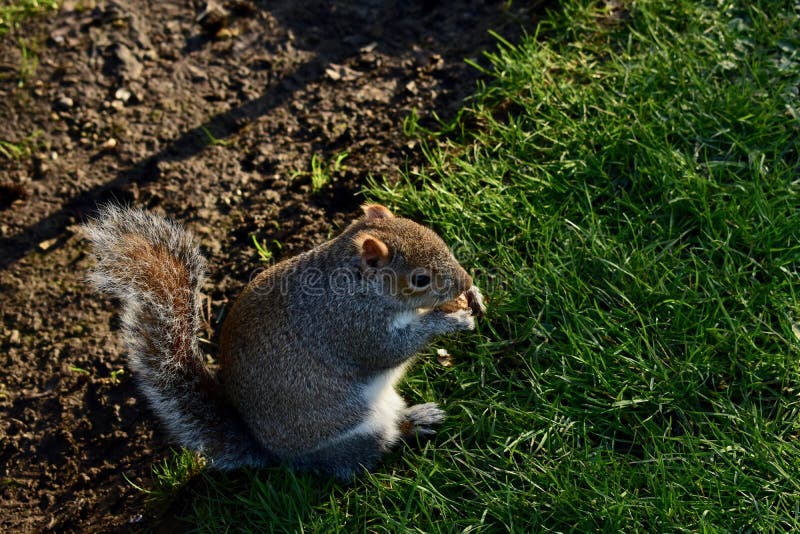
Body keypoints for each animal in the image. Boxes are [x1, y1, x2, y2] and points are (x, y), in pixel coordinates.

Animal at [83, 203, 485, 480]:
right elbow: (389, 351)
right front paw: (447, 320)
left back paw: (417, 415)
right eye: (419, 279)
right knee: (371, 450)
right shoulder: (351, 328)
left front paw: (474, 296)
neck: (357, 283)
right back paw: (408, 428)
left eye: (436, 237)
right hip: (357, 433)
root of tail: (278, 456)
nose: (465, 281)